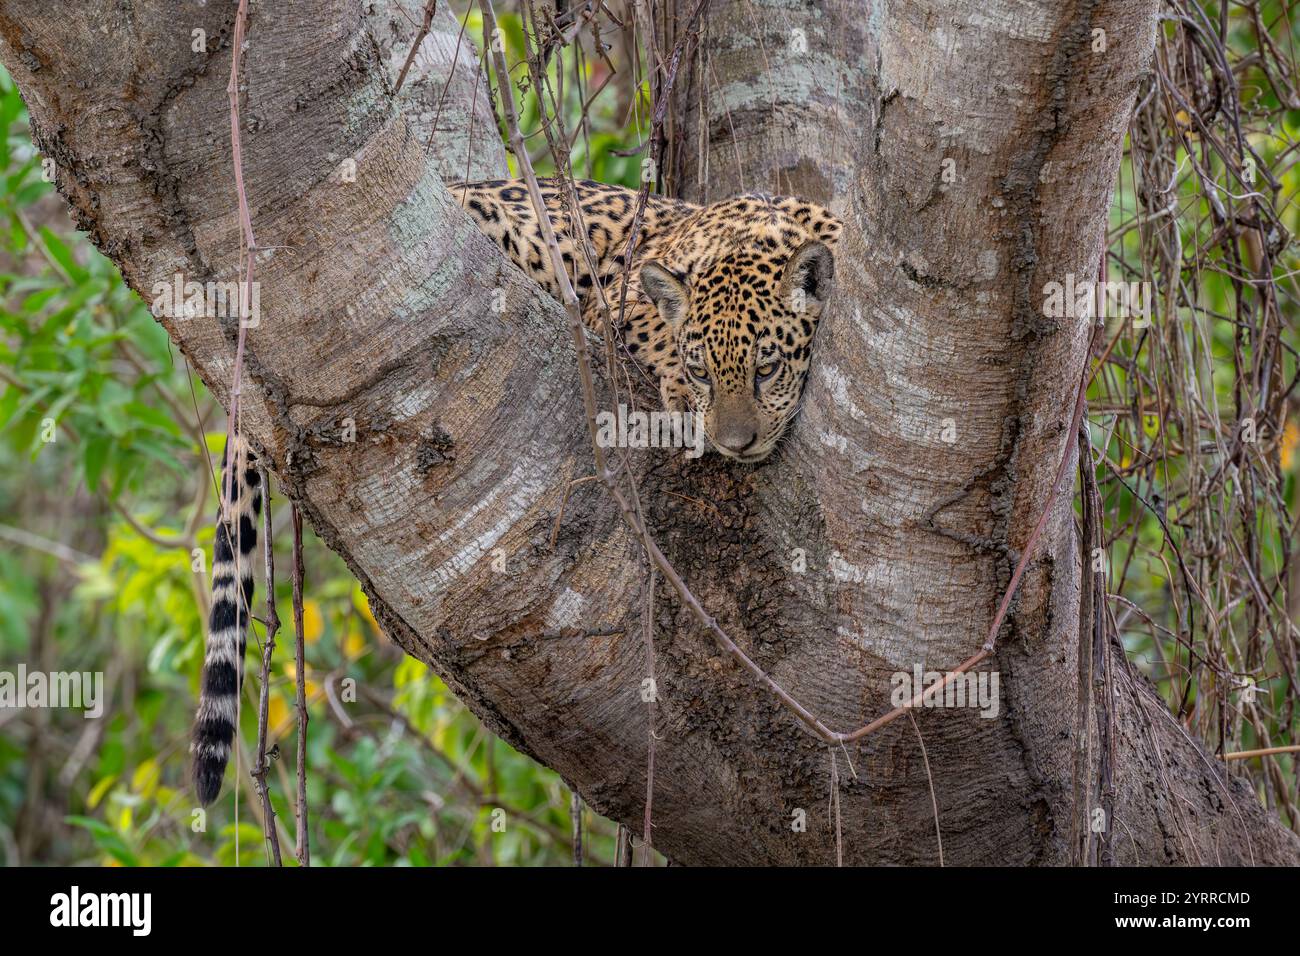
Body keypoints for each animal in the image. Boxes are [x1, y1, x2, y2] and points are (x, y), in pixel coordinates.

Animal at [452, 178, 843, 463]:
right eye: (701, 374)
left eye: (766, 370)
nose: (735, 445)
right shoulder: (610, 302)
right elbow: (658, 329)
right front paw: (684, 396)